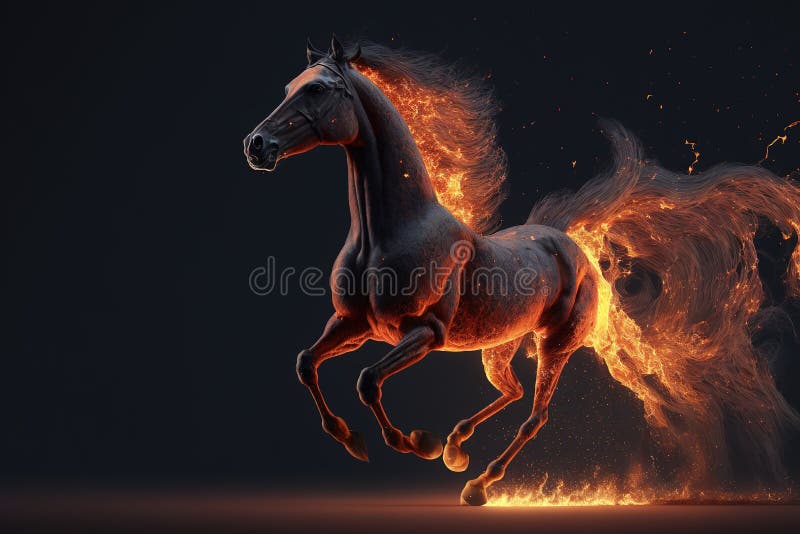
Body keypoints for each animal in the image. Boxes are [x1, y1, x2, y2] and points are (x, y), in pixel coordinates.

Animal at [244, 36, 800, 504]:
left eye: (316, 89)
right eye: (289, 86)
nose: (256, 145)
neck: (391, 232)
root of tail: (574, 248)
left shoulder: (423, 333)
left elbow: (366, 381)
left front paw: (414, 442)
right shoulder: (355, 325)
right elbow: (306, 364)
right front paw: (355, 439)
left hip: (556, 345)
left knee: (535, 413)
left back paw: (477, 482)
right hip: (500, 344)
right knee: (508, 390)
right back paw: (457, 446)